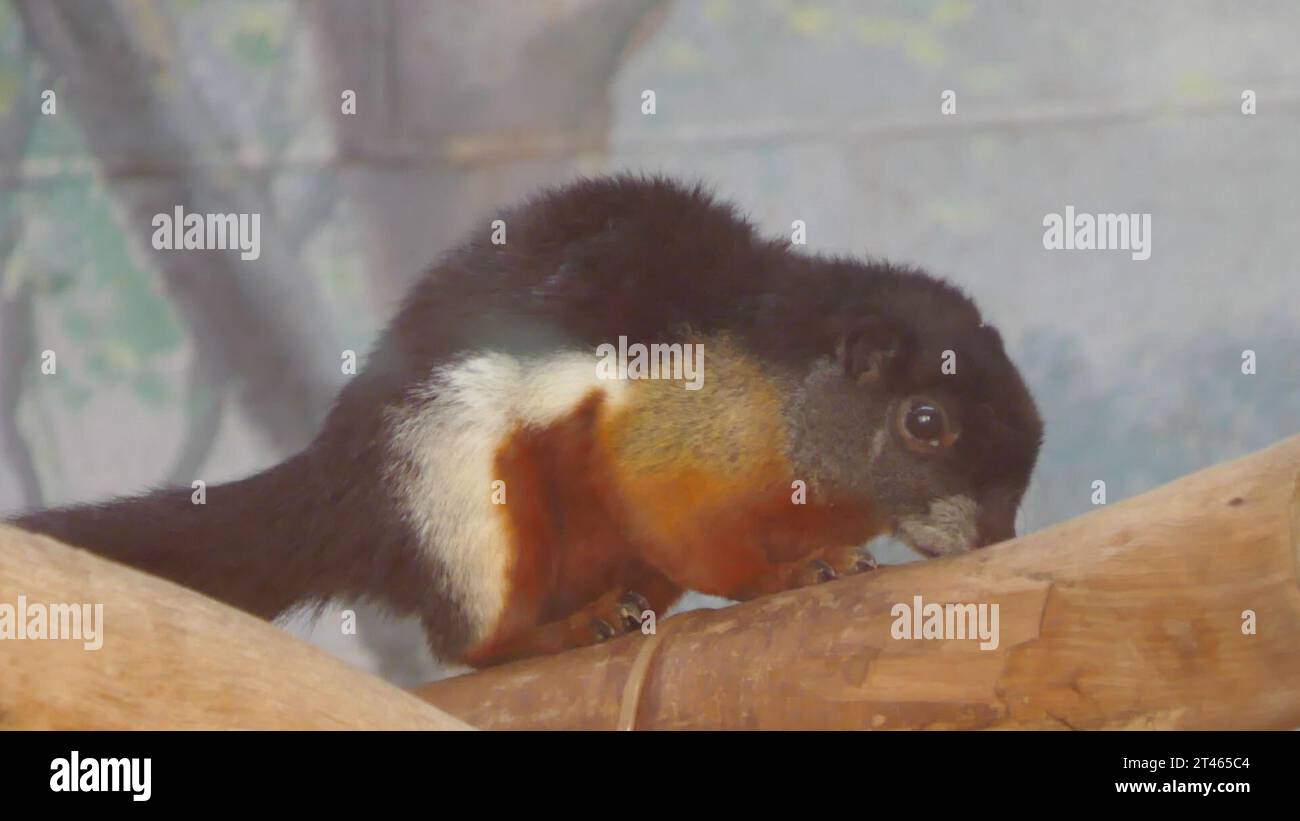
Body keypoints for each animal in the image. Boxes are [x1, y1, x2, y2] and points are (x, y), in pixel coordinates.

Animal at [9, 175, 1043, 668]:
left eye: (1030, 424)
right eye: (924, 421)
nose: (997, 533)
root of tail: (343, 482)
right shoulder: (675, 434)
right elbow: (689, 525)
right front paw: (789, 574)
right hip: (465, 508)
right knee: (470, 642)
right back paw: (553, 633)